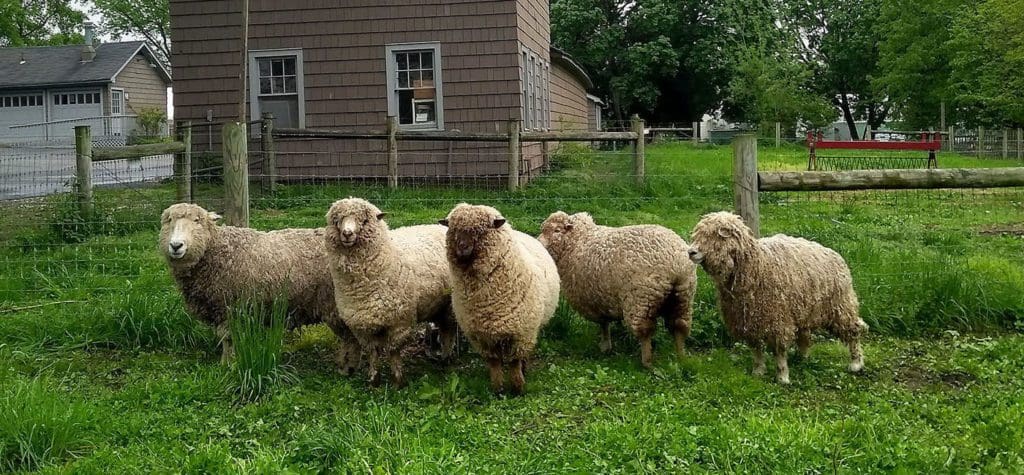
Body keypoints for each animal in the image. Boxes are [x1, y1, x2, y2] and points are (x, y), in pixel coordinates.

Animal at [159, 203, 362, 372]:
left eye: (197, 221)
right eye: (169, 221)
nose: (176, 246)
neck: (217, 250)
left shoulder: (231, 308)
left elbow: (228, 338)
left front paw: (228, 364)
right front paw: (228, 362)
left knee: (351, 338)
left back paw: (347, 366)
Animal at [323, 198, 456, 388]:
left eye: (364, 220)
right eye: (337, 220)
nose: (347, 234)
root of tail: (440, 226)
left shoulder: (399, 321)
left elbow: (393, 351)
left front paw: (398, 380)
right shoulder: (361, 324)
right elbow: (372, 351)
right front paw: (374, 379)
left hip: (451, 304)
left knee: (449, 330)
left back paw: (446, 359)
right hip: (439, 305)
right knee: (444, 328)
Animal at [439, 203, 560, 395]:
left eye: (481, 230)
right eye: (453, 229)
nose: (462, 248)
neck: (487, 299)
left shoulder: (520, 332)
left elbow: (515, 362)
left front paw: (518, 387)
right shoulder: (482, 337)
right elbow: (494, 362)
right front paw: (498, 388)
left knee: (522, 355)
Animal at [538, 211, 697, 367]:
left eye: (557, 230)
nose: (539, 244)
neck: (577, 241)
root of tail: (675, 264)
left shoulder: (594, 300)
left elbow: (603, 324)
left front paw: (605, 346)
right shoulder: (603, 296)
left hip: (641, 298)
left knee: (645, 331)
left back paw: (647, 361)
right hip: (682, 295)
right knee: (679, 325)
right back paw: (681, 357)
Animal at [688, 211, 867, 384]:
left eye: (716, 236)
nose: (691, 252)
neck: (756, 266)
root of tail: (834, 254)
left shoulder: (777, 317)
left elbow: (779, 349)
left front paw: (782, 376)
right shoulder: (749, 318)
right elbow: (756, 348)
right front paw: (758, 371)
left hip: (840, 305)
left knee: (854, 330)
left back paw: (856, 363)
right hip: (805, 308)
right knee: (805, 335)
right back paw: (802, 357)